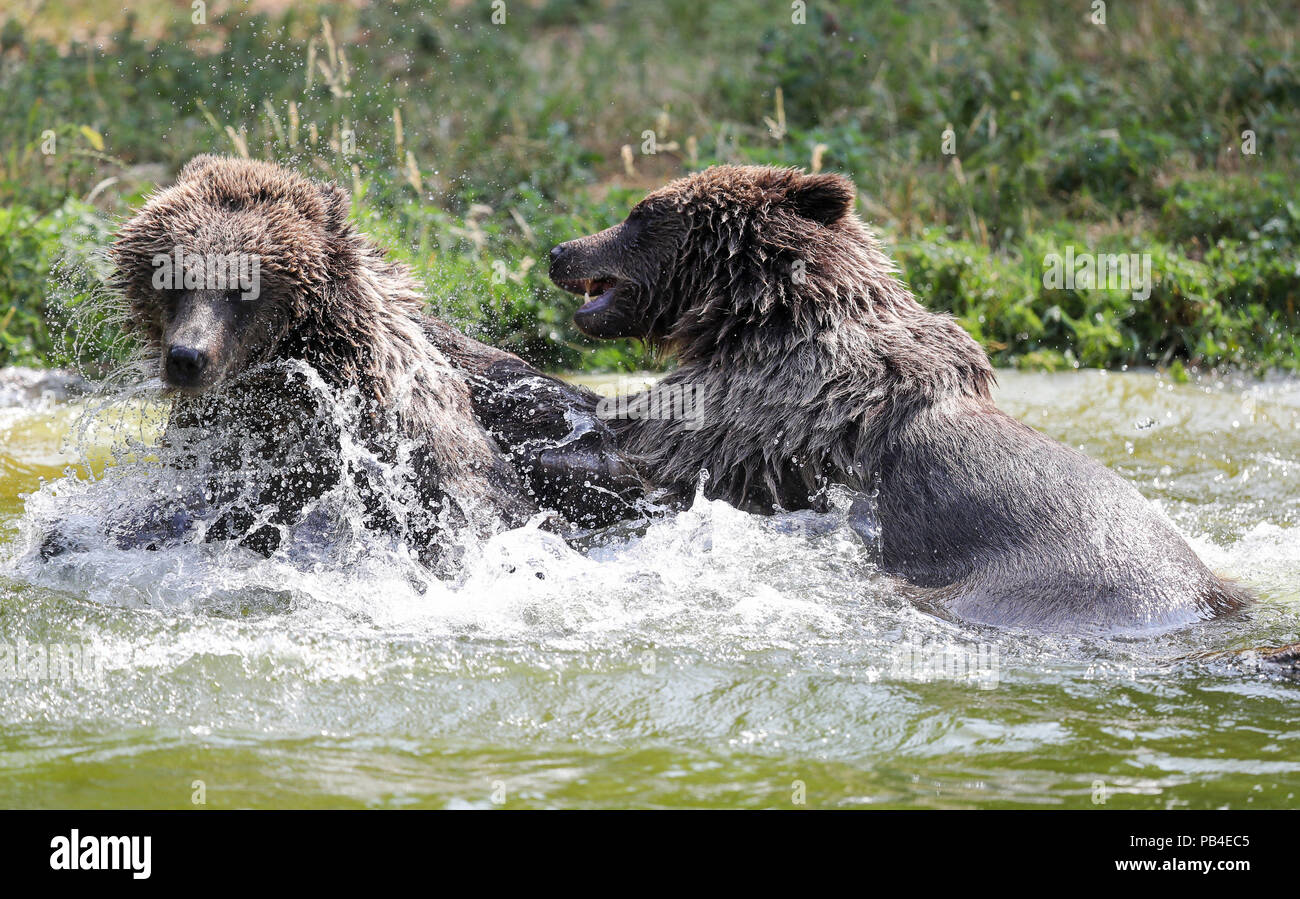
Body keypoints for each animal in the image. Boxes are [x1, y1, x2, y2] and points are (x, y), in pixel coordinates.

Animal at [549, 165, 1250, 632]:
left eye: (639, 214)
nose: (560, 249)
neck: (764, 315)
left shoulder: (774, 402)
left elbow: (661, 443)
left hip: (1028, 585)